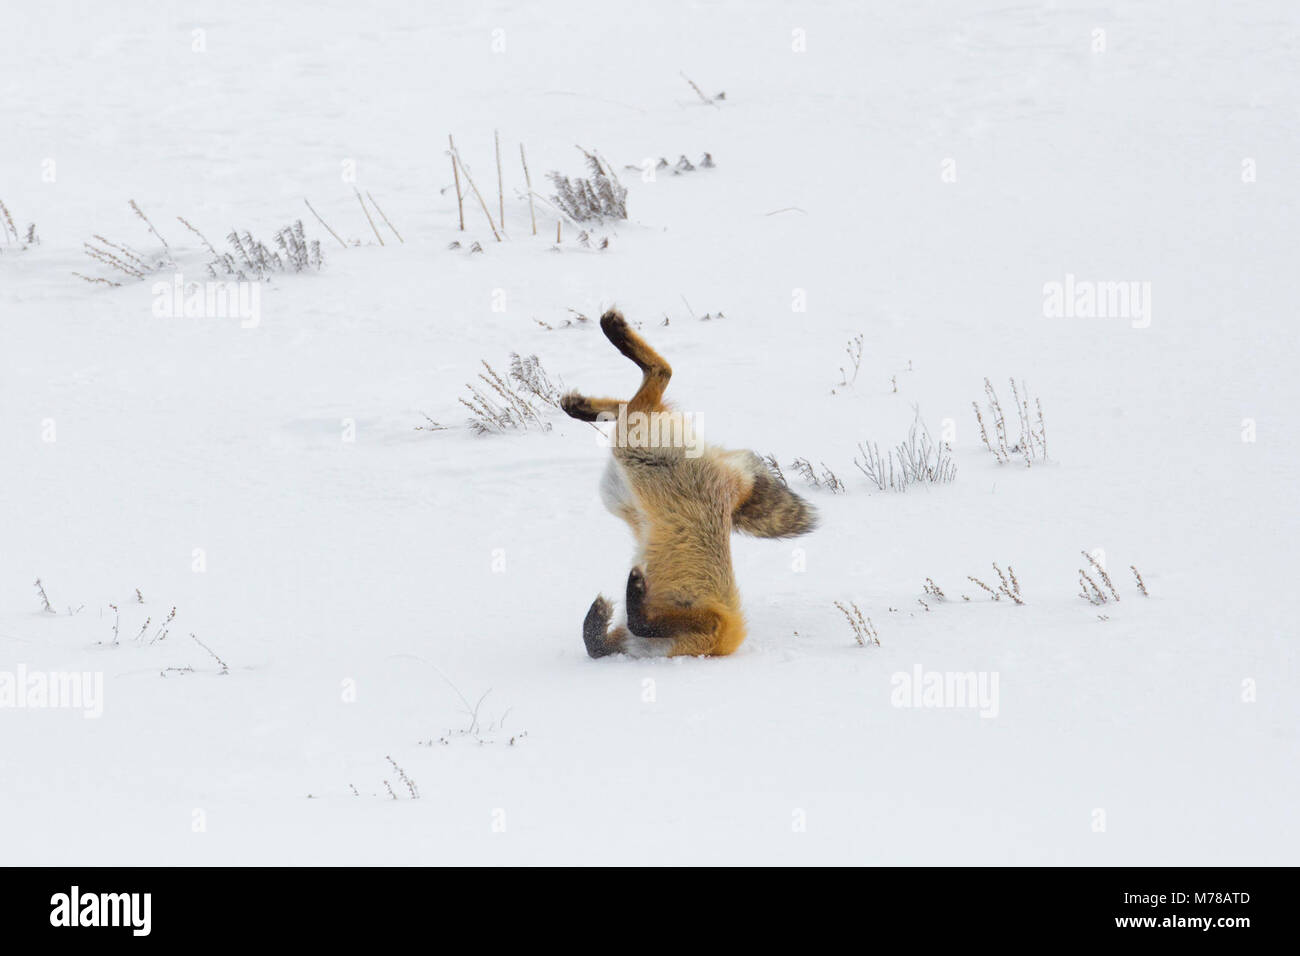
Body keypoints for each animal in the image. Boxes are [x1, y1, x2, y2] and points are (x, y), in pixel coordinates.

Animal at [561, 309, 817, 659]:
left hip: (630, 461)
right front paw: (615, 603)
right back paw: (588, 387)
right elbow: (605, 640)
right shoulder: (704, 627)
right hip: (631, 458)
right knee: (648, 388)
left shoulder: (709, 625)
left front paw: (621, 598)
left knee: (652, 383)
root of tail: (732, 486)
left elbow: (619, 633)